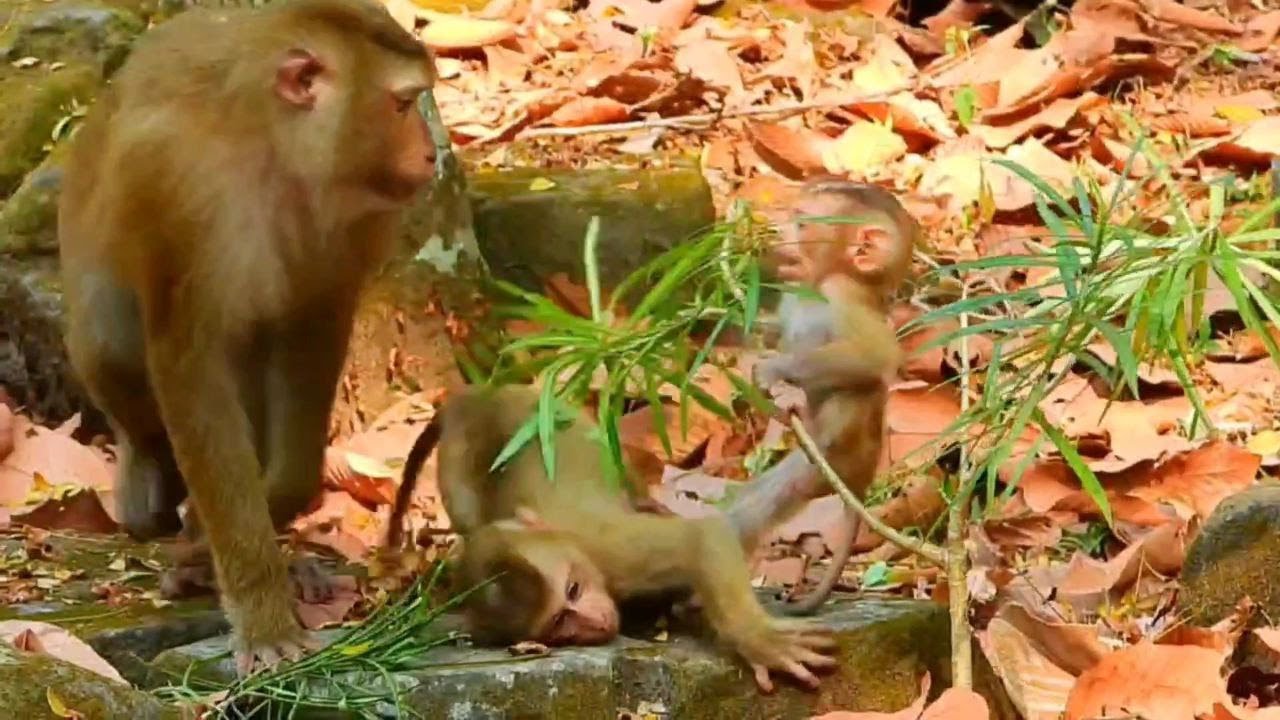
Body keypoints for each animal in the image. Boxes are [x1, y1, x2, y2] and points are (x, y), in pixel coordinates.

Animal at [57, 0, 437, 675]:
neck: (272, 147)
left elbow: (311, 324)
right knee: (118, 355)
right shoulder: (178, 188)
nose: (430, 154)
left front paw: (266, 510)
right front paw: (261, 615)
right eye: (401, 105)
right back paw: (149, 473)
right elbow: (191, 360)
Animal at [385, 384, 837, 693]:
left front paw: (760, 640)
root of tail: (473, 396)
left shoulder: (614, 555)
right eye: (560, 623)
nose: (597, 621)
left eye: (574, 588)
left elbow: (701, 538)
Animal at [725, 179, 919, 615]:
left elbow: (874, 358)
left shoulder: (841, 297)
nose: (774, 233)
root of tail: (862, 478)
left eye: (800, 223)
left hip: (835, 454)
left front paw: (774, 371)